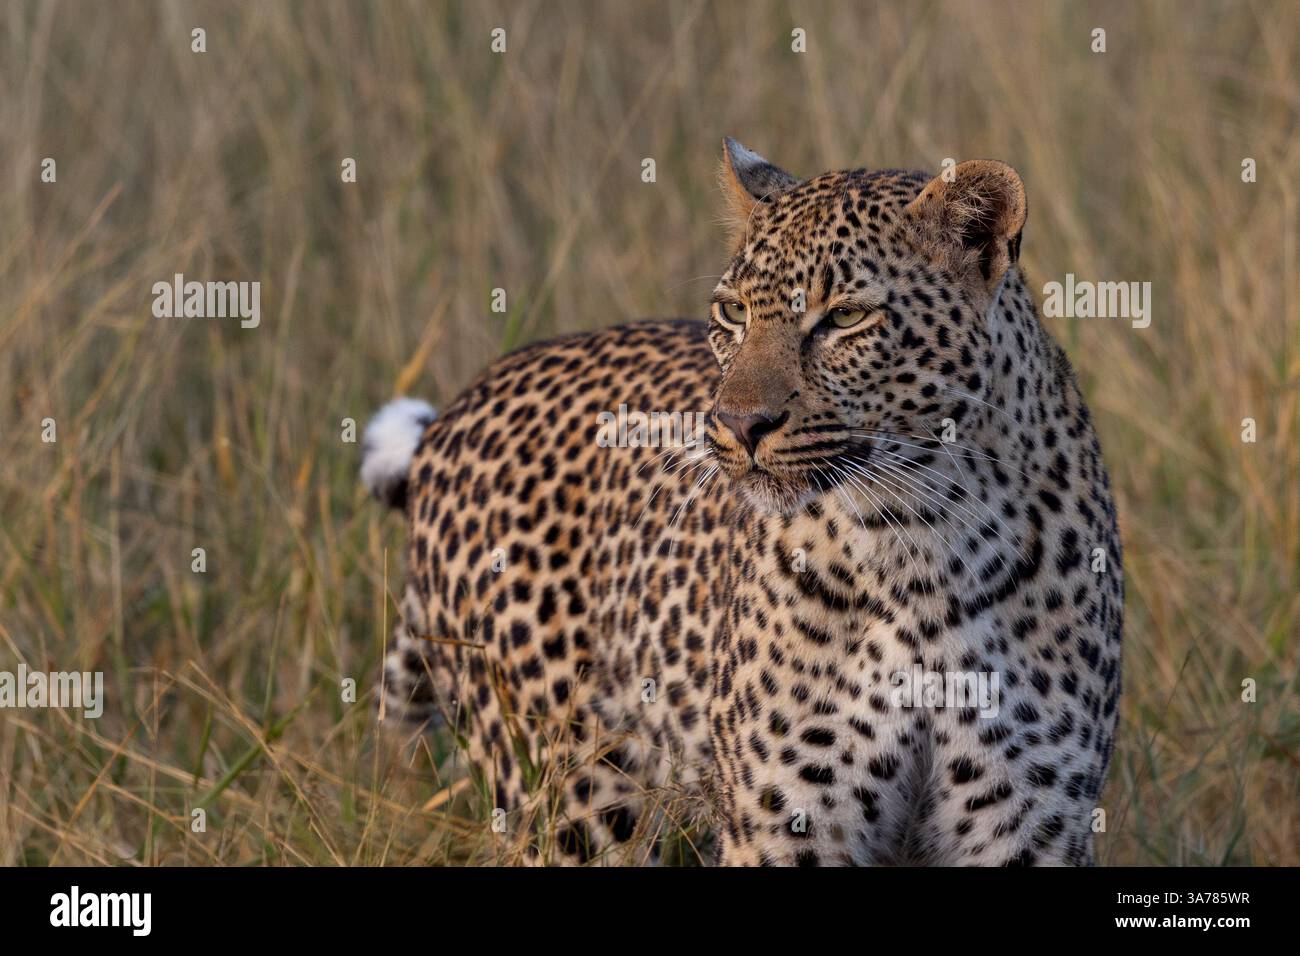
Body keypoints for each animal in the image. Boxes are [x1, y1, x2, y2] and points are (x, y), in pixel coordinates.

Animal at [362, 138, 1124, 866]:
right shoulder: (784, 826)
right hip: (570, 799)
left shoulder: (1027, 826)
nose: (737, 425)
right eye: (733, 312)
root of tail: (460, 408)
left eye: (847, 317)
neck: (917, 544)